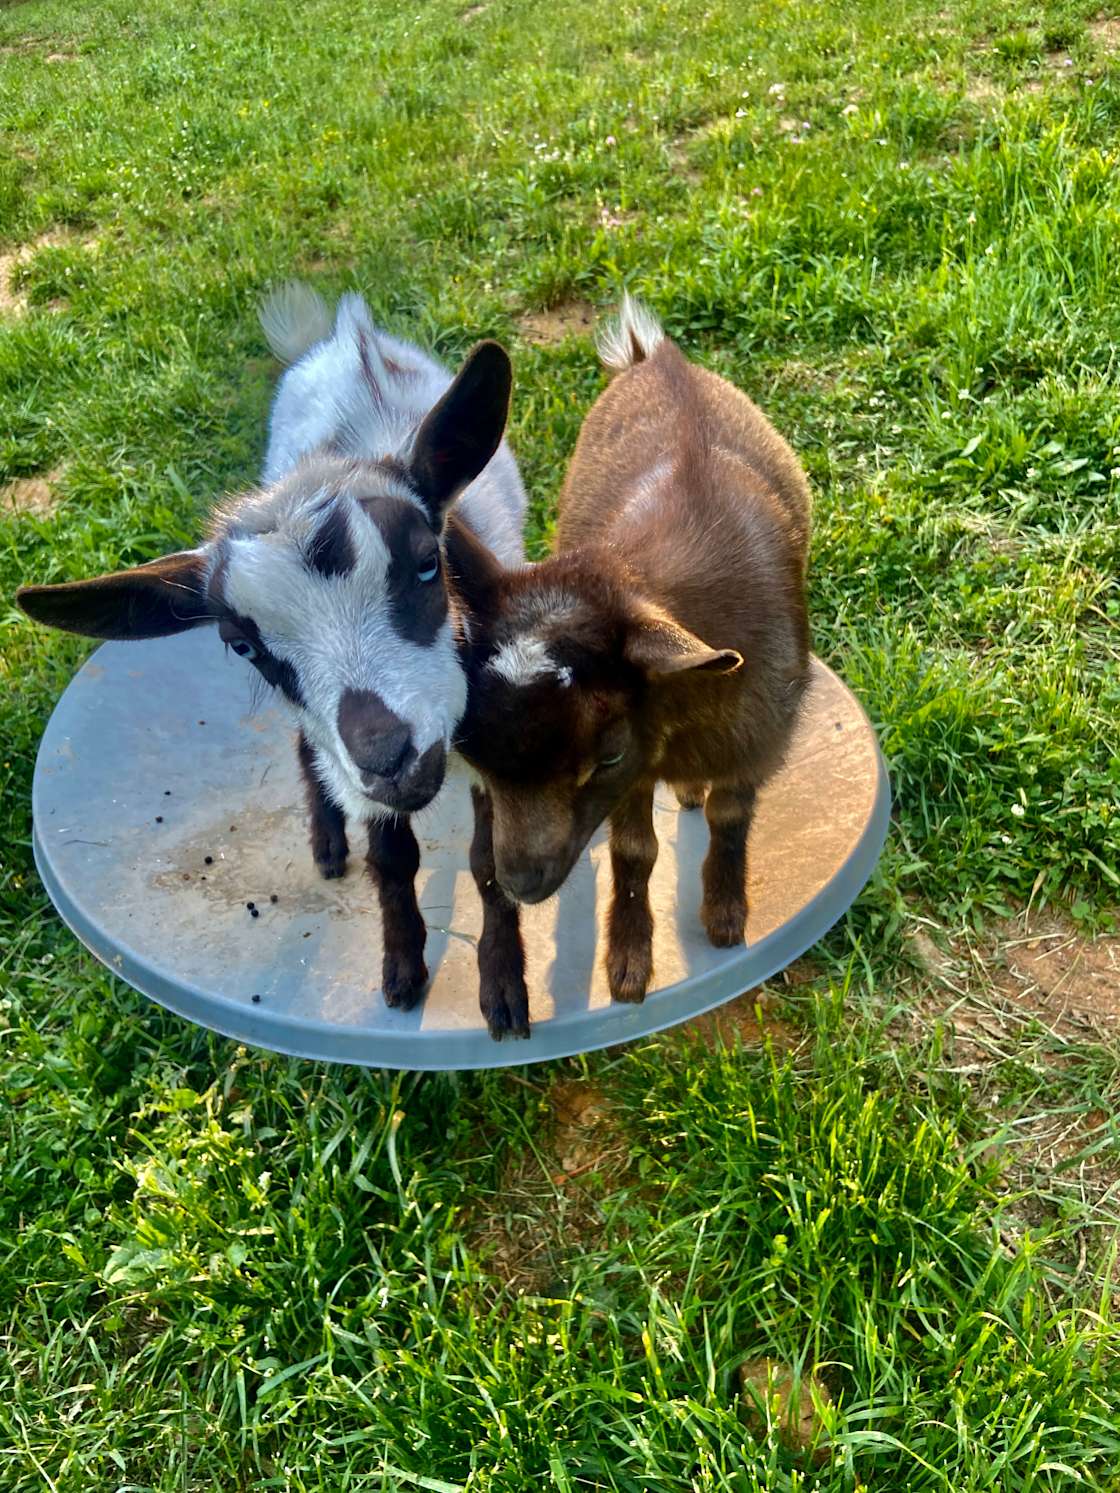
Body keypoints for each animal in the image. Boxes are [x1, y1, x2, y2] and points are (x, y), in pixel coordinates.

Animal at [18, 284, 525, 1013]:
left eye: (429, 562)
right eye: (240, 644)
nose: (388, 757)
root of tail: (348, 335)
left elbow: (490, 859)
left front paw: (505, 988)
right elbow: (391, 858)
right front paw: (402, 970)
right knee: (305, 745)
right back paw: (328, 843)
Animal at [451, 297, 811, 1033]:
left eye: (606, 755)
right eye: (469, 751)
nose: (521, 883)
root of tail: (656, 359)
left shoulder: (753, 737)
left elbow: (732, 816)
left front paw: (724, 916)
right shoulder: (641, 775)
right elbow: (634, 853)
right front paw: (629, 962)